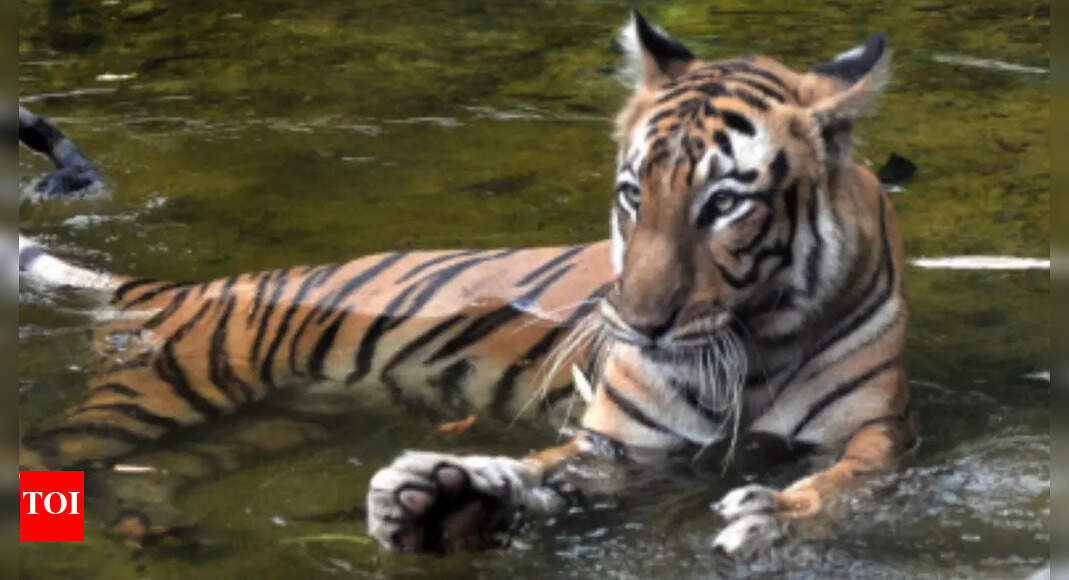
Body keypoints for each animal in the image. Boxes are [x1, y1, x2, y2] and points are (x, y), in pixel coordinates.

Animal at [18, 11, 914, 559]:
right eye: (633, 194)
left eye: (723, 204)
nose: (638, 325)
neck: (754, 338)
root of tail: (190, 287)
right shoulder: (619, 440)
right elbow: (549, 466)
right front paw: (446, 500)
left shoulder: (875, 436)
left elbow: (841, 486)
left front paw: (770, 516)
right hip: (150, 398)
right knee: (38, 455)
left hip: (274, 422)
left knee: (159, 470)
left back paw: (159, 531)